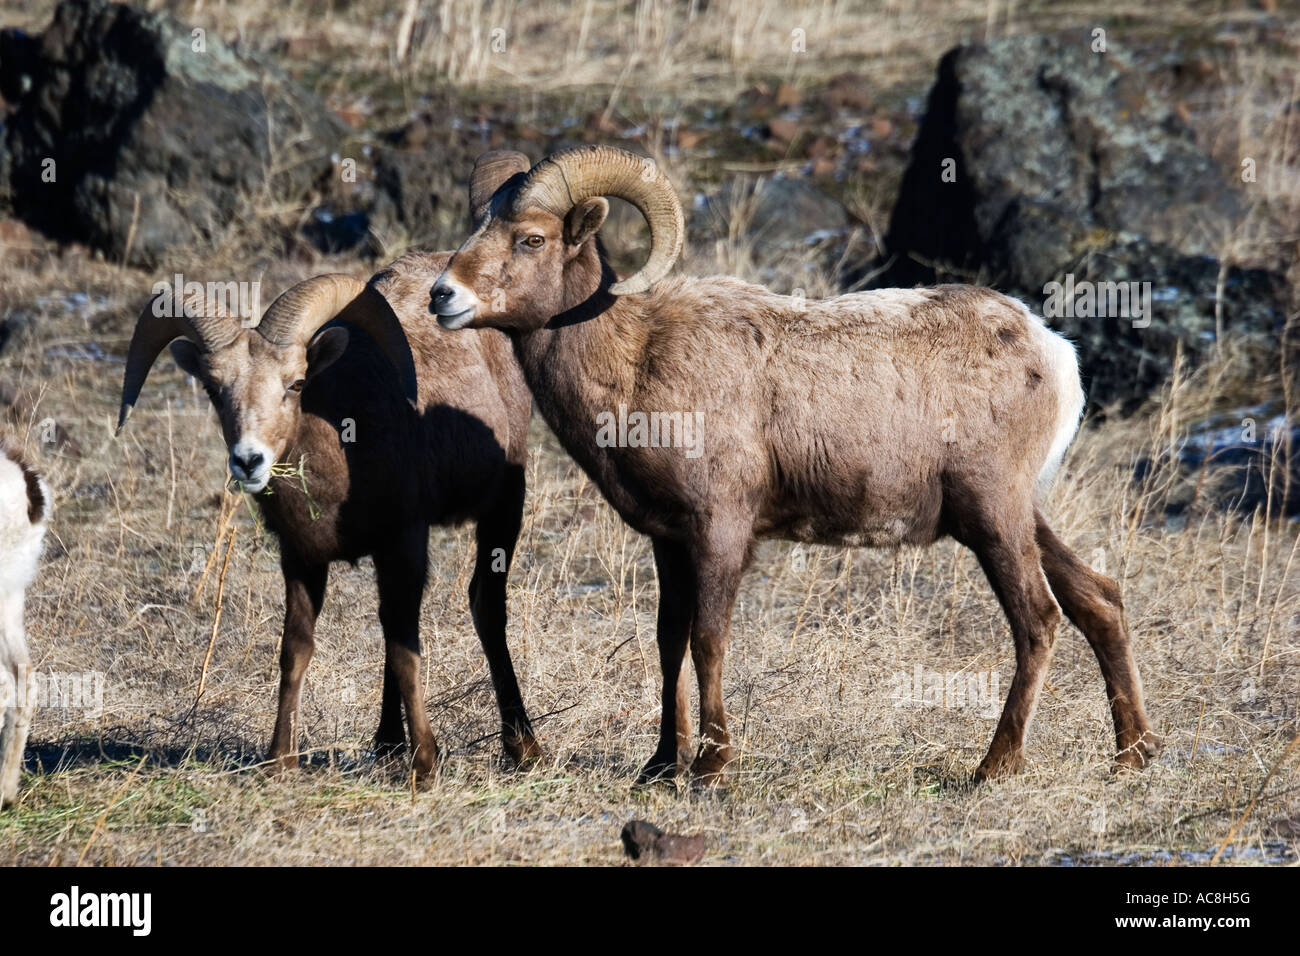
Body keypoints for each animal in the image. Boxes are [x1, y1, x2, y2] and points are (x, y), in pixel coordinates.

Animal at [118, 254, 540, 780]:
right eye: (215, 389)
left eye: (296, 383)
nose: (249, 461)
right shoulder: (302, 559)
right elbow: (297, 649)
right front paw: (280, 760)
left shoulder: (404, 542)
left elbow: (406, 650)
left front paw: (425, 764)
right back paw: (387, 744)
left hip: (503, 507)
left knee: (485, 606)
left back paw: (522, 747)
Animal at [429, 145, 1162, 785]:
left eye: (531, 239)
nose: (442, 296)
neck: (636, 364)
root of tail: (1054, 353)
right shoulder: (670, 541)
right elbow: (669, 643)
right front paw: (659, 767)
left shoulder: (722, 531)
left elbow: (708, 640)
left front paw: (712, 769)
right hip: (1019, 516)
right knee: (1099, 599)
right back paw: (1132, 754)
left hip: (994, 516)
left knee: (1037, 619)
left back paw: (995, 767)